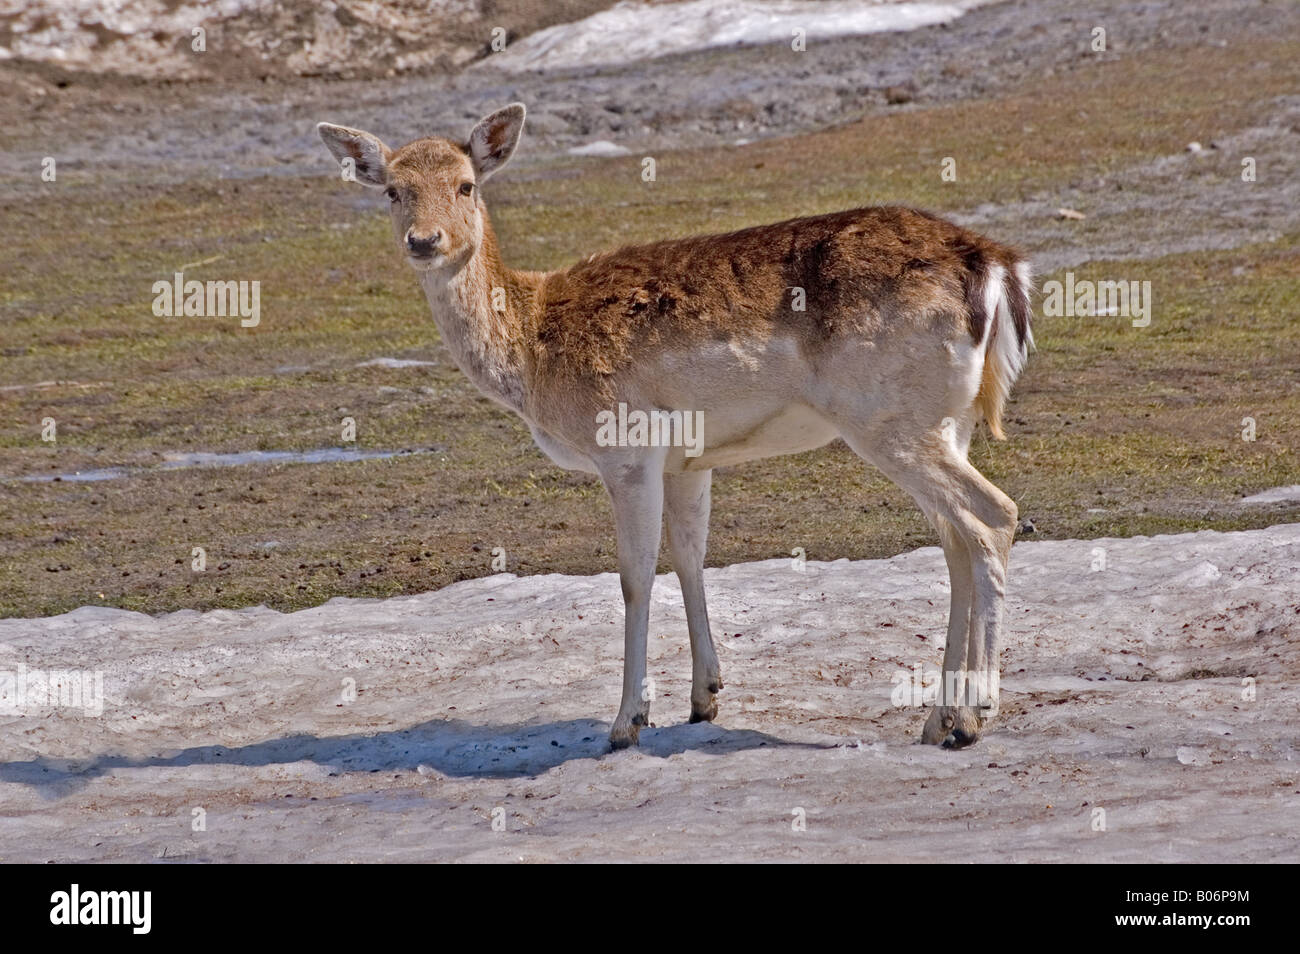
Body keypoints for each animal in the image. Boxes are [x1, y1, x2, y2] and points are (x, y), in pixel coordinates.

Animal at [317, 103, 1033, 752]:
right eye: (392, 190)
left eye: (467, 184)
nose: (424, 241)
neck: (533, 350)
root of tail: (997, 267)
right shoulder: (690, 459)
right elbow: (690, 555)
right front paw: (703, 697)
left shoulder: (626, 446)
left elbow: (634, 575)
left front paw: (626, 722)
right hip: (948, 419)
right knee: (956, 540)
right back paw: (936, 718)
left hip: (888, 418)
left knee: (992, 516)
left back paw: (974, 716)